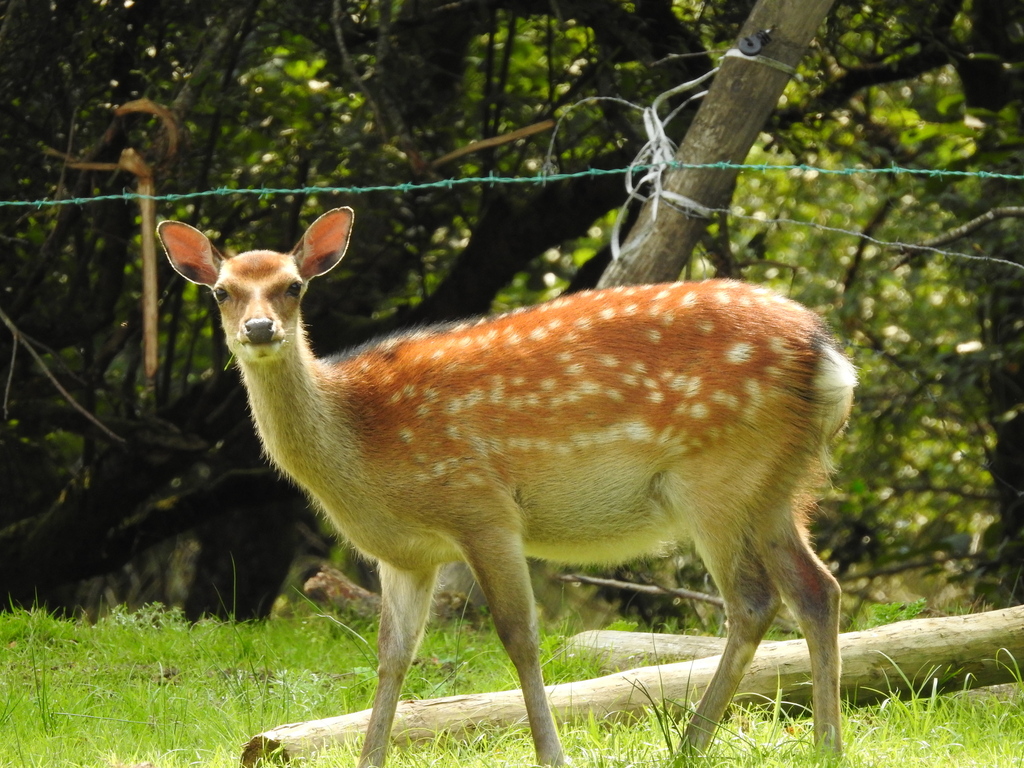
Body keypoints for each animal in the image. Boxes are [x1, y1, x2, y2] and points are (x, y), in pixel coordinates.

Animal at [158, 207, 856, 767]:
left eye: (294, 287)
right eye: (221, 292)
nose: (259, 330)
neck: (359, 445)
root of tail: (830, 358)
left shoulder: (481, 506)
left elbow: (519, 636)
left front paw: (553, 754)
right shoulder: (404, 554)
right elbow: (392, 654)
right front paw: (369, 758)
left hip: (718, 474)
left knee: (754, 601)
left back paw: (690, 744)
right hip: (775, 484)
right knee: (817, 588)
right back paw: (826, 744)